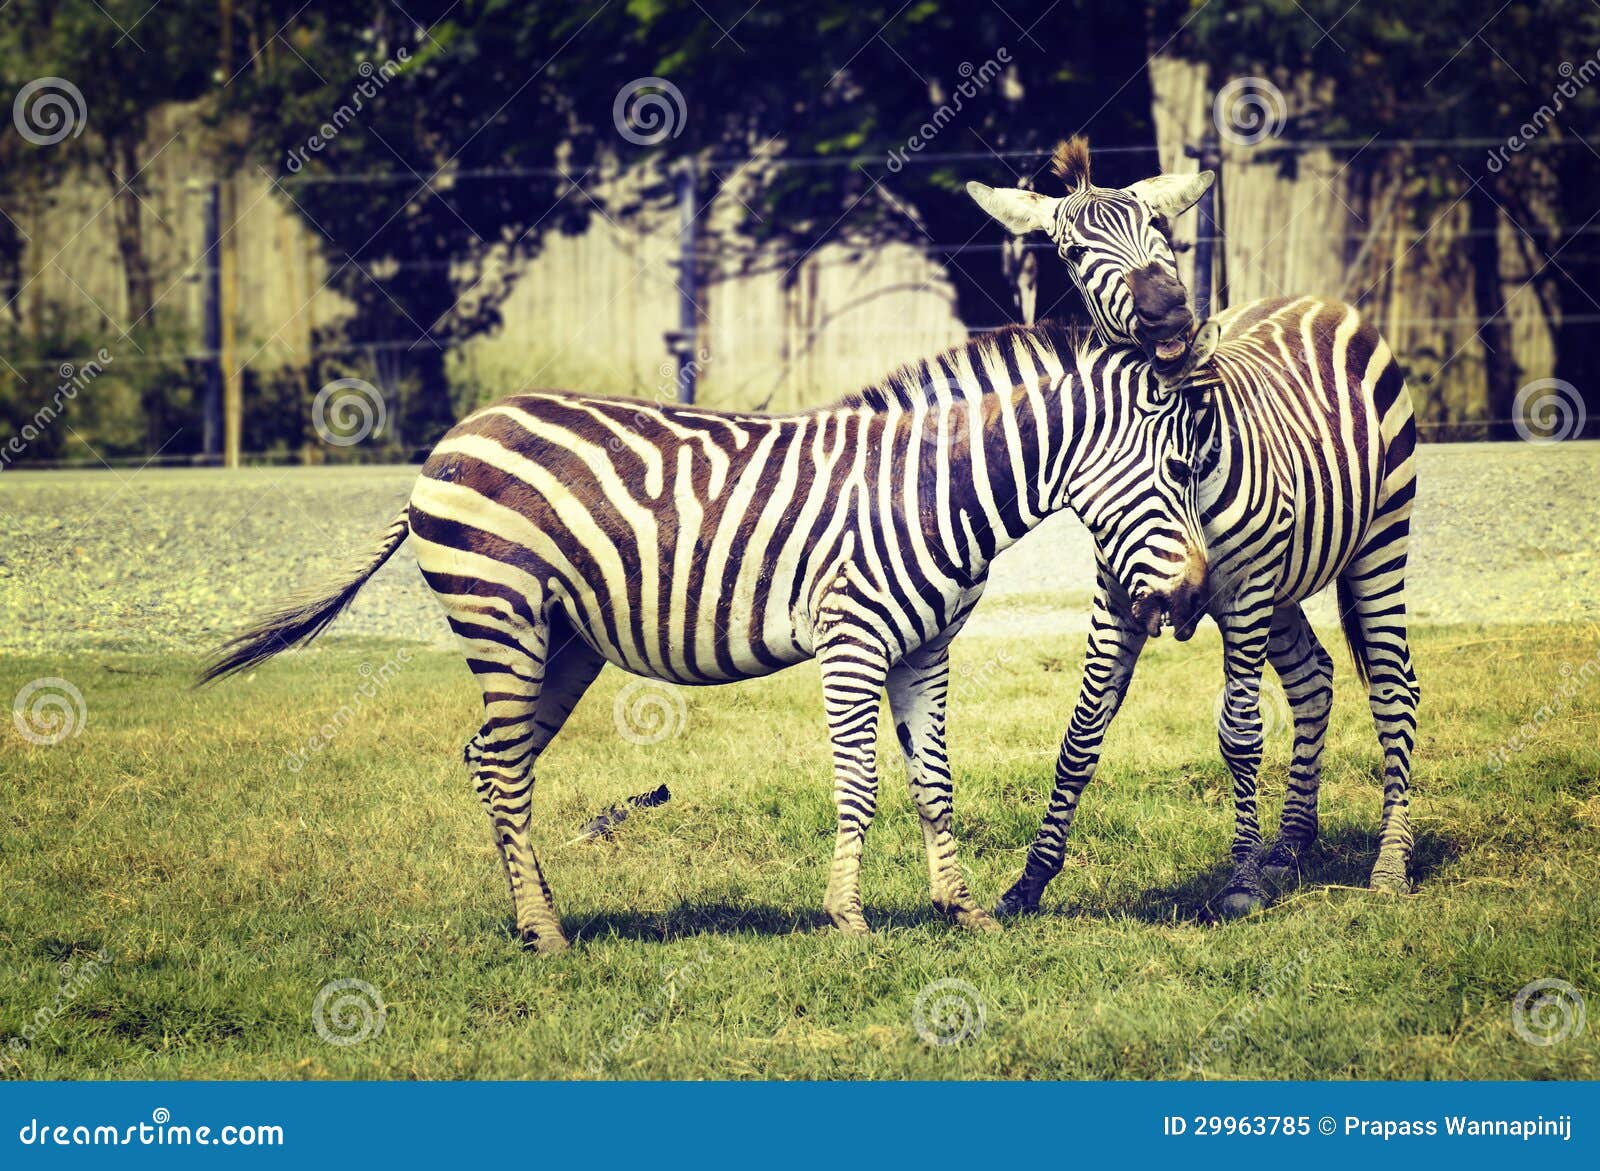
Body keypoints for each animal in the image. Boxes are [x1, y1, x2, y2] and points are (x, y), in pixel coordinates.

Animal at [200, 326, 1209, 953]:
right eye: (1174, 470)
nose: (1196, 597)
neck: (933, 488)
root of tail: (450, 439)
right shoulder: (852, 638)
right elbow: (861, 784)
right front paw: (848, 919)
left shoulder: (928, 650)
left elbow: (934, 782)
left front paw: (960, 910)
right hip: (504, 617)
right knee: (504, 769)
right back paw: (548, 932)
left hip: (563, 642)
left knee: (492, 759)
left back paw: (533, 918)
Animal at [970, 155, 1419, 918]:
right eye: (1070, 251)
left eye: (1157, 226)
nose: (1168, 310)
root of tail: (1316, 299)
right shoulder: (1119, 597)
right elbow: (1079, 737)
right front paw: (1028, 883)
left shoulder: (1242, 592)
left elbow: (1239, 734)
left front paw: (1239, 881)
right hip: (1282, 587)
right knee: (1314, 678)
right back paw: (1289, 846)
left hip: (1378, 543)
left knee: (1394, 689)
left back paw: (1389, 863)